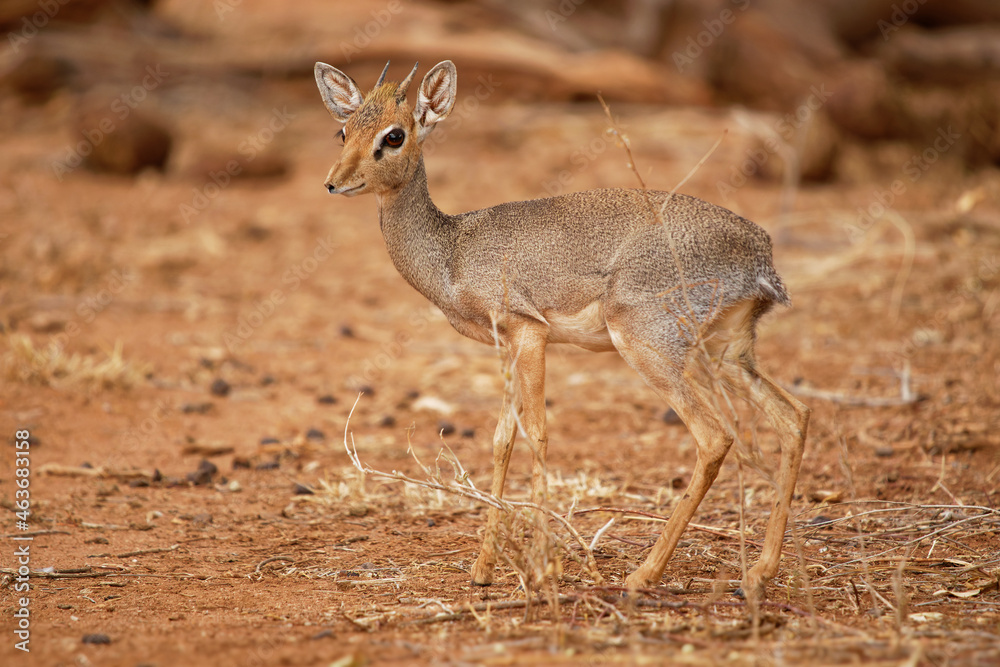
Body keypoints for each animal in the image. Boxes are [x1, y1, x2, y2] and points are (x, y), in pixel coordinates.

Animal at [314, 60, 809, 601]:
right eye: (343, 130)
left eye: (394, 135)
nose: (335, 183)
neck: (451, 250)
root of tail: (759, 251)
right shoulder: (507, 346)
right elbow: (501, 440)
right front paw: (483, 568)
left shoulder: (529, 333)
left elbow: (538, 434)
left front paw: (541, 568)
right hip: (727, 352)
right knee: (795, 416)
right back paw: (758, 572)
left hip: (647, 346)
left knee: (716, 436)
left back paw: (644, 575)